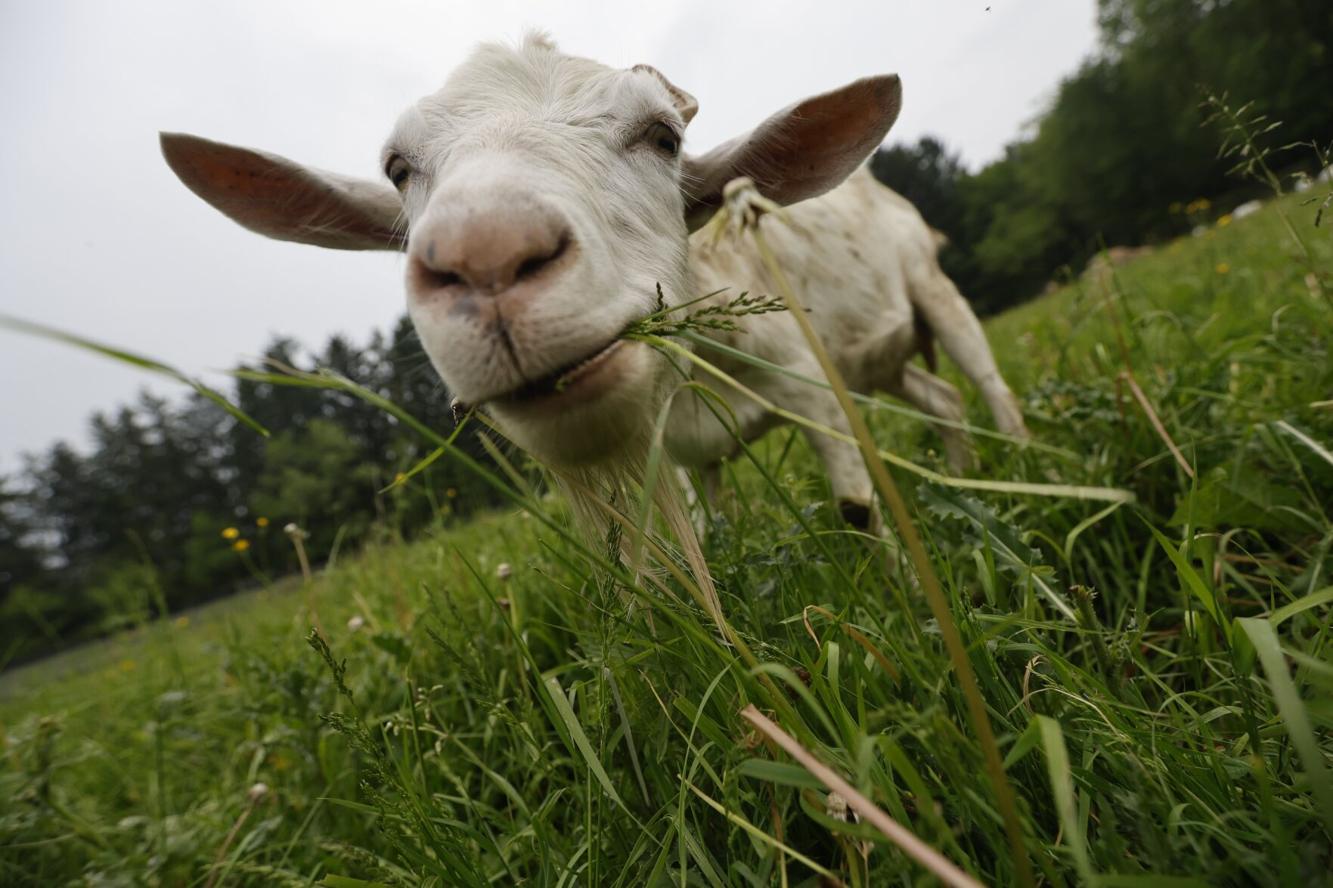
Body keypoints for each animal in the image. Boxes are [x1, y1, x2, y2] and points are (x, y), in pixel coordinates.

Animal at [160, 34, 1026, 530]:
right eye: (398, 169)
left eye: (663, 136)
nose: (488, 257)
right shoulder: (680, 455)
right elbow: (716, 535)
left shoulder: (809, 388)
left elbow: (854, 511)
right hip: (874, 352)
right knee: (938, 394)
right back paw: (962, 472)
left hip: (928, 286)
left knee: (983, 377)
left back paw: (1022, 463)